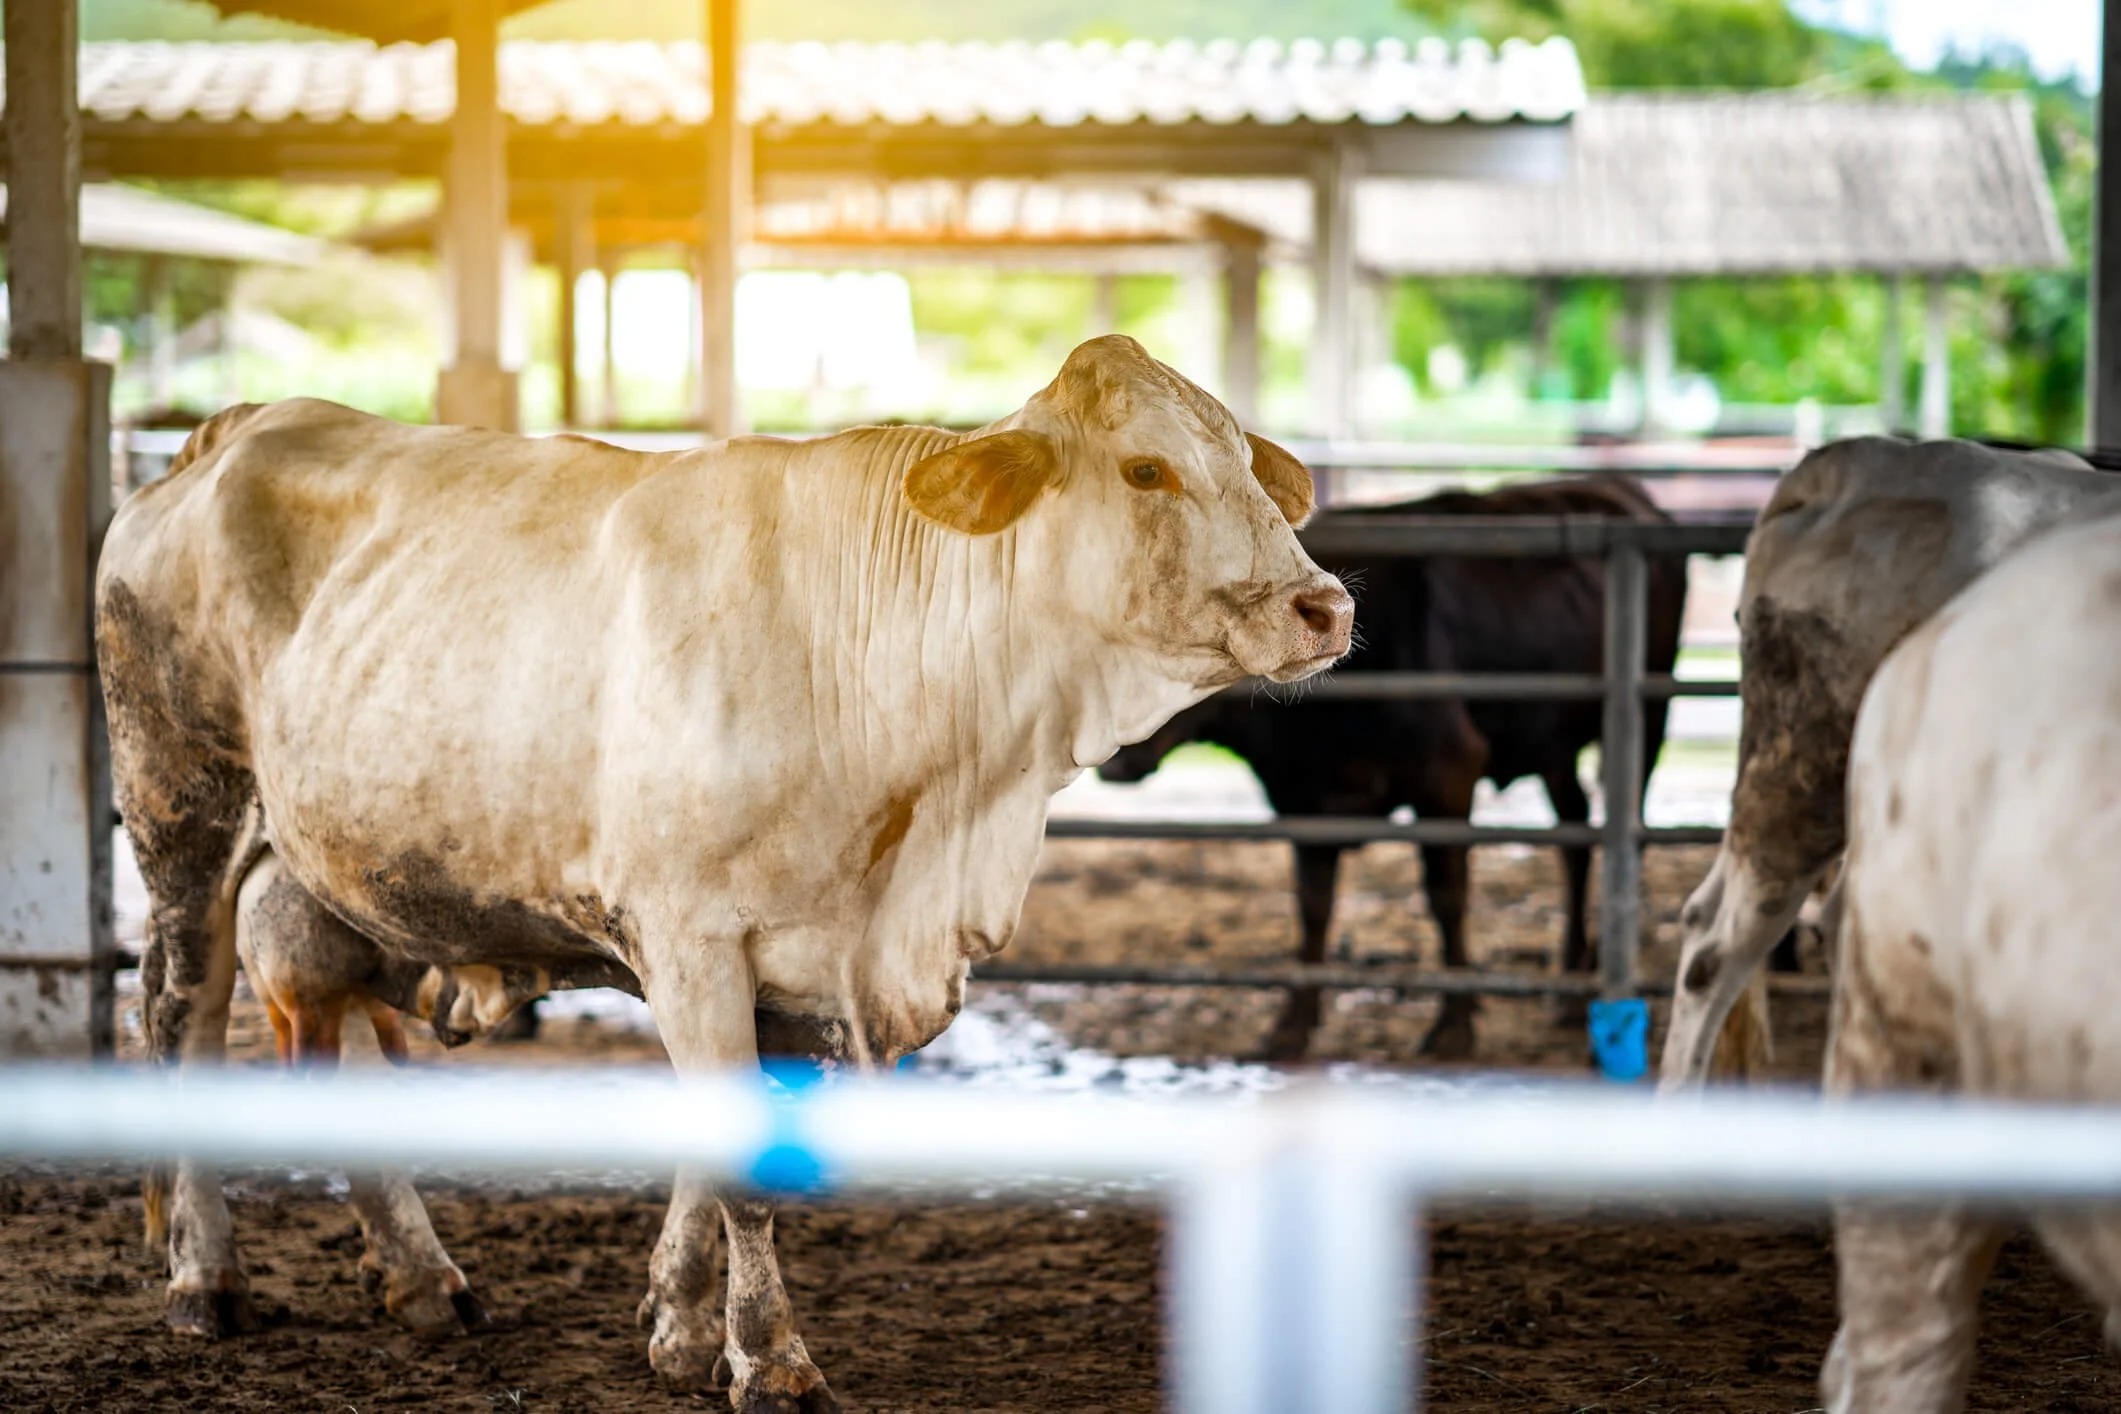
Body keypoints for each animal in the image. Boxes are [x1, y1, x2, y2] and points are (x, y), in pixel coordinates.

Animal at [97, 335, 1351, 1409]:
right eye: (1146, 468)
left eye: (1246, 462)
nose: (1324, 605)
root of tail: (234, 431)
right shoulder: (696, 941)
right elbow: (741, 1166)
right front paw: (771, 1364)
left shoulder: (797, 968)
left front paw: (683, 1329)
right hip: (185, 821)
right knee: (179, 1012)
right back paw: (203, 1278)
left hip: (332, 870)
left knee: (335, 1021)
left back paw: (418, 1275)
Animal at [1098, 476, 1687, 1062]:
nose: (1115, 756)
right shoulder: (1303, 799)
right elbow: (1313, 905)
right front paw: (1292, 1024)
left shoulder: (1448, 773)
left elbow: (1447, 897)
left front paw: (1454, 1025)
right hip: (1552, 745)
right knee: (1575, 834)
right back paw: (1572, 989)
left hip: (1648, 718)